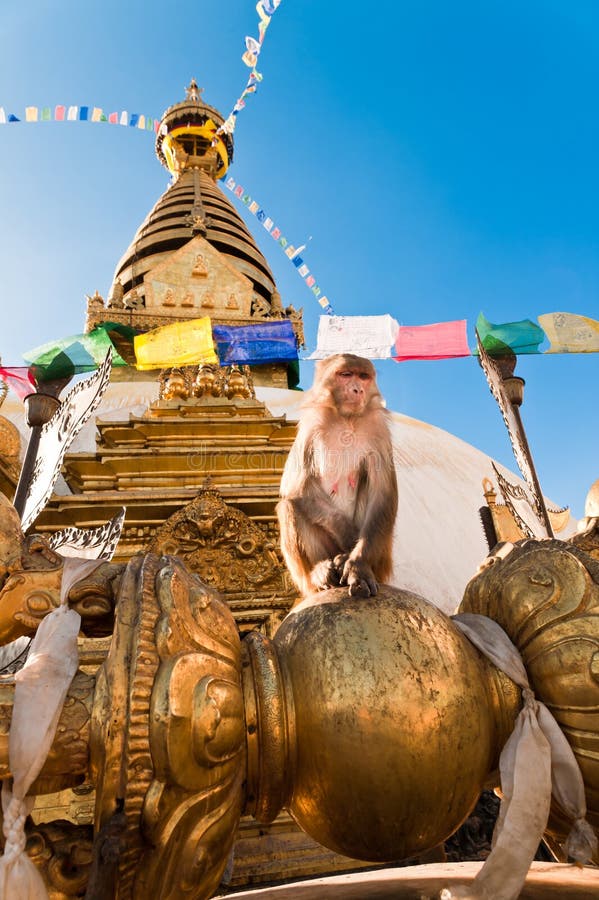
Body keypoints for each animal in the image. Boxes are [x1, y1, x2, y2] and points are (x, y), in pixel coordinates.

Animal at [277, 354, 398, 599]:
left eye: (364, 376)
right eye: (346, 374)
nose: (357, 389)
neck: (346, 419)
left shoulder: (378, 428)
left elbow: (382, 494)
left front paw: (357, 566)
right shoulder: (311, 423)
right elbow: (294, 486)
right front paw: (349, 535)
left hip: (383, 559)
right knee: (289, 505)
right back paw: (320, 573)